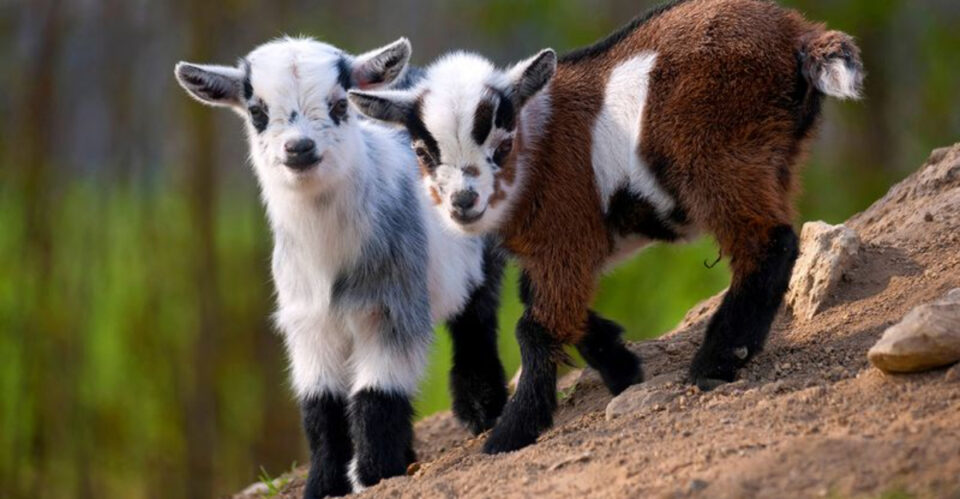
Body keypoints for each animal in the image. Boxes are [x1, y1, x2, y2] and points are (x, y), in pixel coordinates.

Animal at [174, 37, 507, 497]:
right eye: (258, 112)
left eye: (338, 104)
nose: (299, 148)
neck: (330, 264)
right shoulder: (307, 319)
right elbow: (321, 403)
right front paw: (326, 483)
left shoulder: (392, 305)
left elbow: (378, 393)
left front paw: (374, 473)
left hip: (483, 252)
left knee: (477, 318)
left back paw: (482, 411)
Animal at [350, 0, 864, 454]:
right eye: (422, 152)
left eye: (502, 144)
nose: (463, 202)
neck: (537, 149)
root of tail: (799, 33)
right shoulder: (556, 255)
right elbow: (553, 309)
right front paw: (622, 367)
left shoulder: (566, 237)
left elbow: (533, 328)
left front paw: (511, 433)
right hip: (769, 160)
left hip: (719, 157)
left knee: (768, 244)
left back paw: (714, 364)